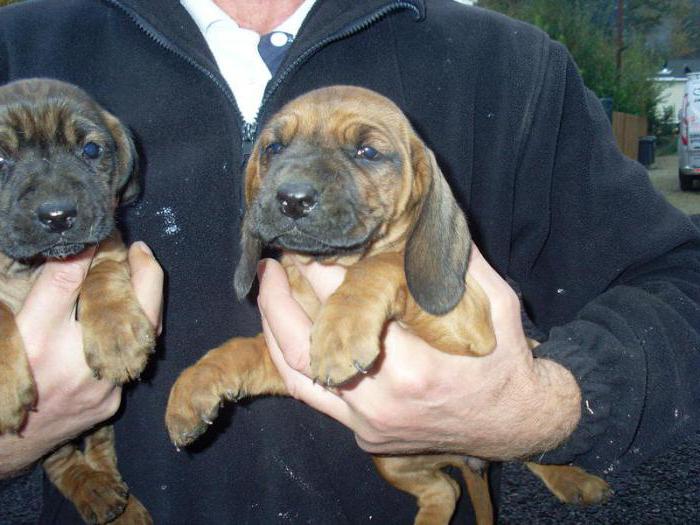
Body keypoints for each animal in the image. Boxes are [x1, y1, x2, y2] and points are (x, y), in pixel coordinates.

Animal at [0, 79, 154, 524]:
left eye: (90, 151)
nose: (58, 216)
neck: (32, 267)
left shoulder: (108, 247)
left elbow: (101, 281)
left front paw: (117, 337)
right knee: (59, 457)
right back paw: (93, 489)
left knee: (99, 446)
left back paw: (117, 500)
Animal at [167, 87, 608, 524]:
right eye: (274, 147)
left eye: (368, 152)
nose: (292, 199)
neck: (334, 264)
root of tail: (468, 457)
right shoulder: (285, 351)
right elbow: (238, 351)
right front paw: (193, 388)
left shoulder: (473, 322)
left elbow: (387, 262)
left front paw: (341, 330)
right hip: (393, 459)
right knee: (443, 491)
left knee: (532, 454)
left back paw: (574, 479)